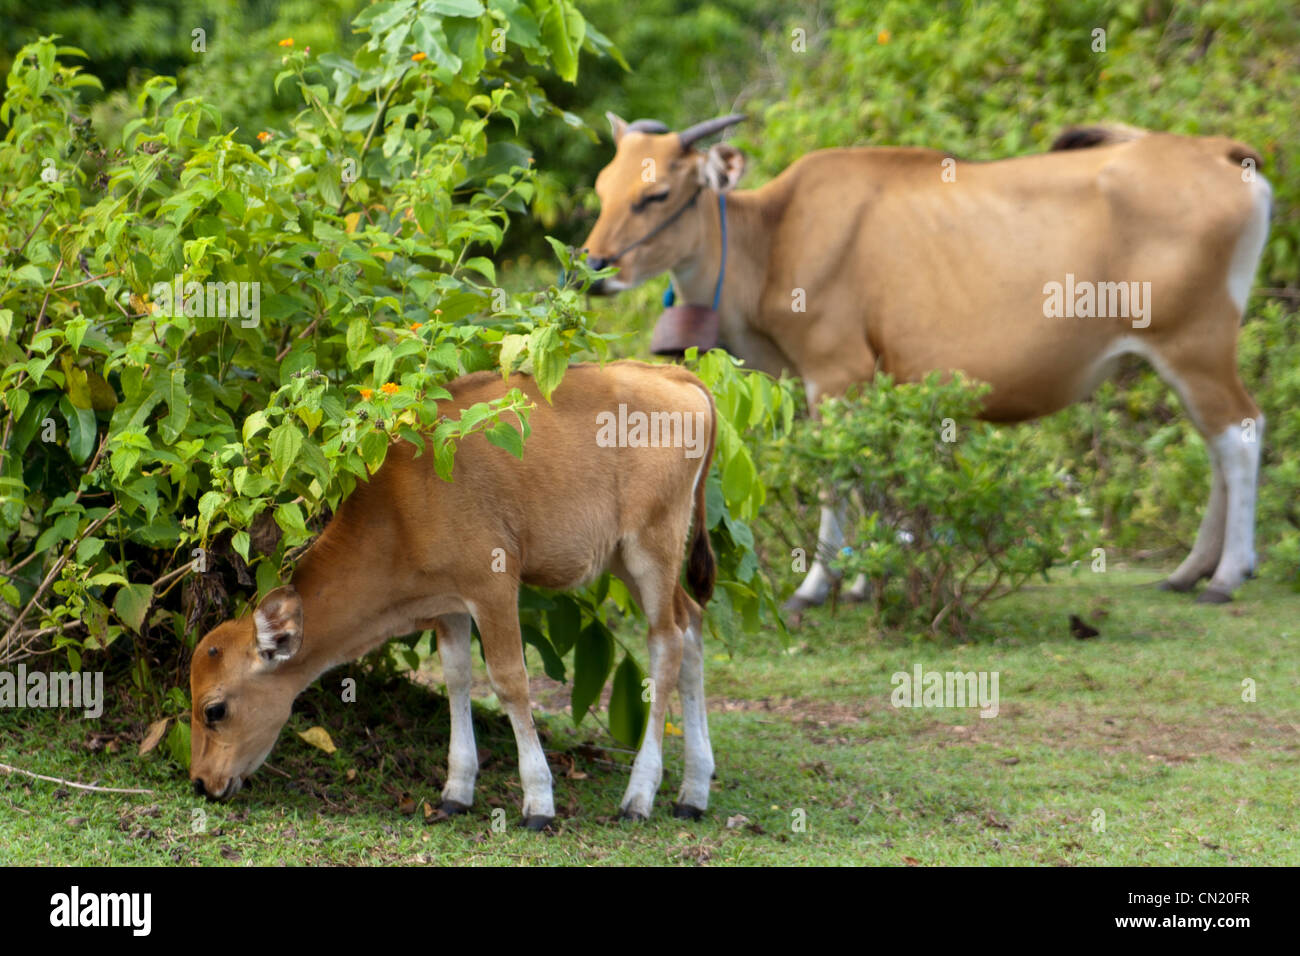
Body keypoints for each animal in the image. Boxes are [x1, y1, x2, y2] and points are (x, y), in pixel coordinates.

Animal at [188, 361, 718, 828]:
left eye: (215, 710)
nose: (200, 782)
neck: (400, 510)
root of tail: (676, 377)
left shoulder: (494, 587)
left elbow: (509, 682)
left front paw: (539, 802)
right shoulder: (447, 604)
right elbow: (459, 680)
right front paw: (456, 793)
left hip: (653, 547)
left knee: (666, 644)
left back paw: (640, 796)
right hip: (624, 558)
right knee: (692, 624)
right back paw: (693, 792)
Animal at [581, 114, 1272, 609]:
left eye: (656, 194)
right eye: (602, 189)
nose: (594, 267)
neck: (773, 235)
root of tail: (1221, 152)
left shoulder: (836, 374)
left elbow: (841, 477)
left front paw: (819, 586)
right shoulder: (875, 382)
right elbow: (877, 481)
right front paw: (865, 581)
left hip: (1194, 344)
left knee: (1238, 435)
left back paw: (1226, 576)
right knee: (1216, 445)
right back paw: (1190, 571)